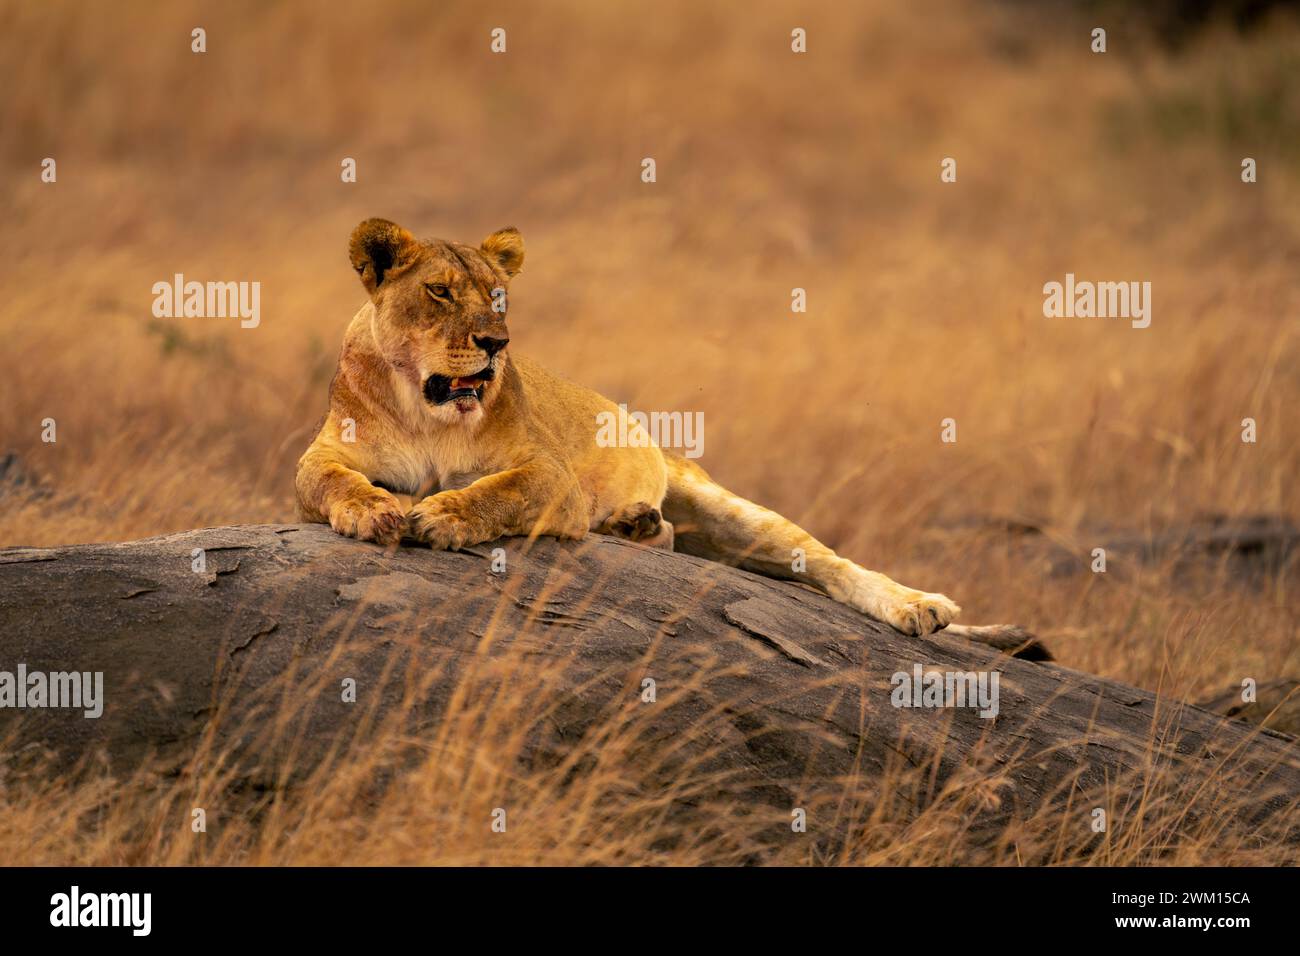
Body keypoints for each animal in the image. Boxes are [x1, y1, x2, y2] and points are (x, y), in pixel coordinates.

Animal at [295, 218, 1046, 658]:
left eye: (497, 296)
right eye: (443, 293)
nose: (497, 343)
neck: (427, 407)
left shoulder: (549, 475)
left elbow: (496, 491)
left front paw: (443, 516)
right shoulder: (325, 453)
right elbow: (327, 481)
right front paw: (372, 511)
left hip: (734, 510)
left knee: (833, 565)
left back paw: (918, 607)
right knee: (672, 541)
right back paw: (633, 523)